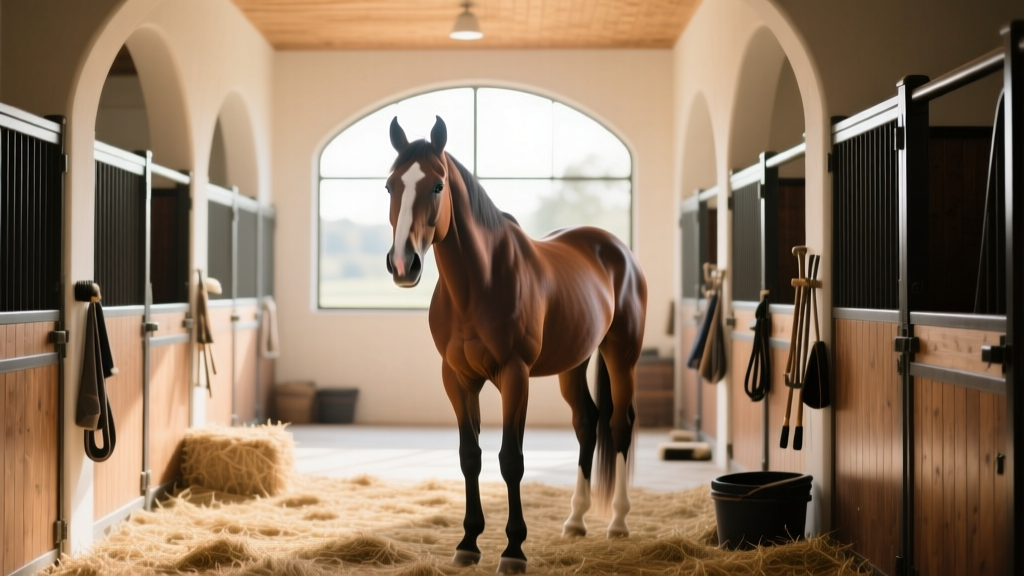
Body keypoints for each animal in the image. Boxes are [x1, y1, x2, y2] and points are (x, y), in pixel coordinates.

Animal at [384, 115, 647, 574]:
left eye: (437, 185)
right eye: (389, 186)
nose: (403, 264)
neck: (478, 284)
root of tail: (617, 250)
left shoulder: (514, 375)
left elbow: (511, 459)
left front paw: (513, 550)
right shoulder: (457, 378)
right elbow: (469, 456)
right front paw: (468, 542)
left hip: (621, 356)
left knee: (618, 425)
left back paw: (617, 523)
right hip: (572, 363)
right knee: (587, 422)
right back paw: (576, 520)